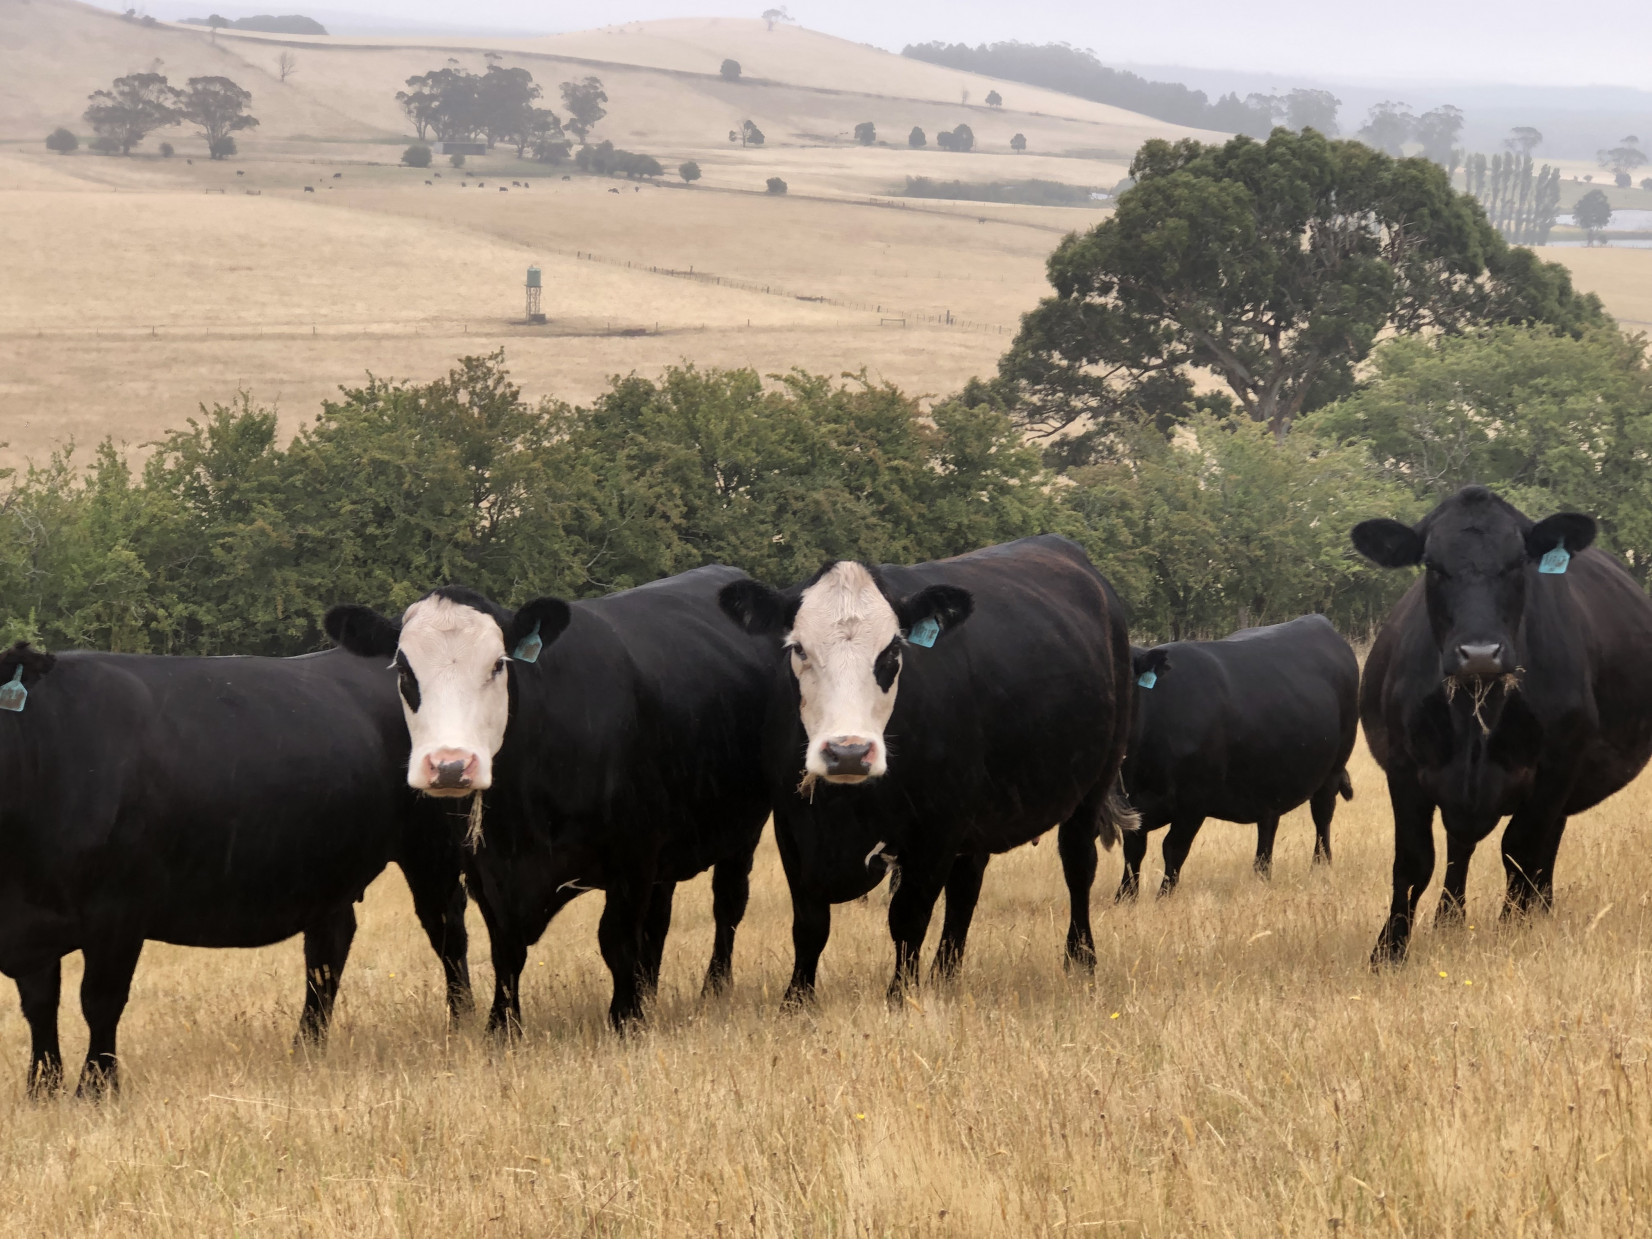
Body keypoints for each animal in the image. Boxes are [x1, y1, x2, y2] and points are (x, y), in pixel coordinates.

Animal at [0, 641, 470, 1098]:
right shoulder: (32, 925)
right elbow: (39, 1006)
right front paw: (42, 1088)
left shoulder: (117, 913)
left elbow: (99, 1001)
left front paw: (95, 1088)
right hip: (328, 865)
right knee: (328, 949)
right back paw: (306, 1048)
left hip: (435, 847)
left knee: (447, 932)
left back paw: (461, 1024)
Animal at [325, 567, 772, 1032]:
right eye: (404, 670)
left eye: (498, 664)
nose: (450, 765)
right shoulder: (485, 867)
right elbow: (505, 948)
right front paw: (502, 1026)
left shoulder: (633, 852)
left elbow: (616, 939)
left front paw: (625, 1019)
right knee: (660, 919)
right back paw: (650, 991)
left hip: (743, 832)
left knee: (727, 903)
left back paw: (713, 988)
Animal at [717, 535, 1136, 1001]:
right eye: (799, 648)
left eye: (892, 652)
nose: (848, 752)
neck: (846, 808)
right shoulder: (792, 825)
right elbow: (810, 923)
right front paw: (795, 1001)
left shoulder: (936, 829)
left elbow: (908, 918)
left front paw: (899, 997)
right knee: (966, 888)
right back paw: (945, 973)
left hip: (1093, 785)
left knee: (1078, 865)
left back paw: (1081, 959)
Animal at [1115, 616, 1358, 900]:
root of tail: (1318, 620)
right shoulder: (1131, 804)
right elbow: (1133, 850)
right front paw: (1124, 897)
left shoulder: (1194, 802)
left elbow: (1173, 848)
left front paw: (1164, 897)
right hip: (1270, 776)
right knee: (1268, 824)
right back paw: (1262, 875)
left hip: (1333, 769)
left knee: (1322, 816)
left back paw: (1320, 867)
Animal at [1352, 485, 1652, 964]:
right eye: (1432, 566)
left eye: (1517, 563)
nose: (1479, 652)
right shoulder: (1403, 767)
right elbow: (1414, 860)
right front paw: (1389, 951)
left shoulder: (1556, 766)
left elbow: (1520, 850)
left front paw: (1513, 932)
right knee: (1460, 847)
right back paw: (1450, 920)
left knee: (1544, 844)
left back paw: (1538, 910)